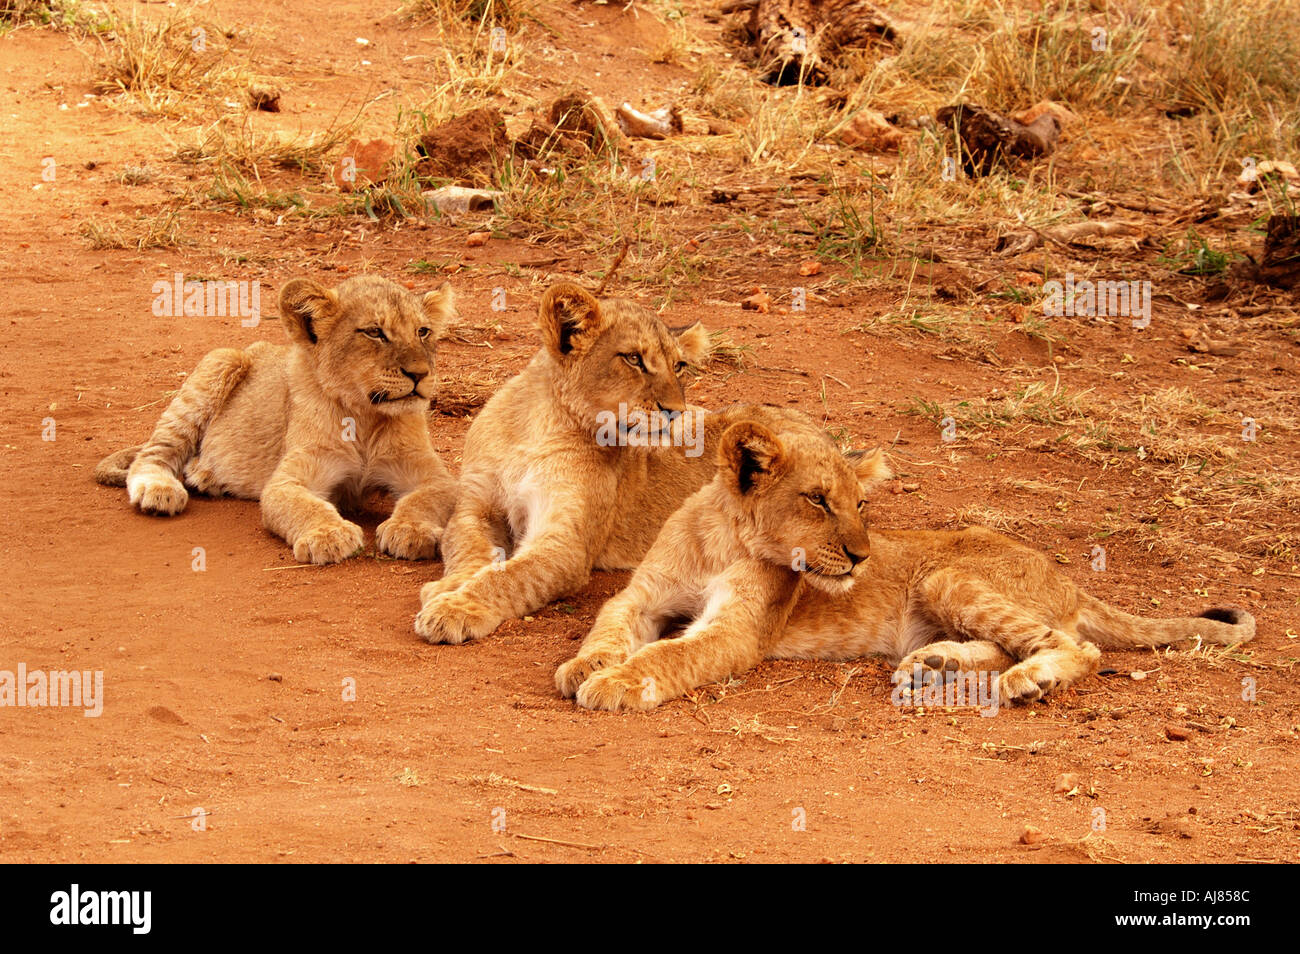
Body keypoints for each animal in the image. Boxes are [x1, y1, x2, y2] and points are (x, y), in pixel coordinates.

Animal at [94, 275, 459, 565]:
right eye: (374, 332)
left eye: (423, 331)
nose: (420, 374)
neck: (365, 415)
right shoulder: (287, 480)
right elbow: (303, 505)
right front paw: (328, 535)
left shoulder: (433, 475)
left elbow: (423, 499)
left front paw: (410, 530)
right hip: (221, 360)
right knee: (153, 453)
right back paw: (160, 489)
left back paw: (204, 476)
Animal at [414, 281, 739, 644]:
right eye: (633, 358)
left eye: (679, 366)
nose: (677, 412)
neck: (539, 429)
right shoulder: (475, 507)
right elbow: (469, 550)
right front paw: (450, 586)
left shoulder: (565, 544)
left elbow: (508, 577)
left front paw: (454, 608)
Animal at [556, 406, 1257, 711]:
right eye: (818, 500)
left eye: (862, 504)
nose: (863, 557)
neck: (722, 540)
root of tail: (1071, 583)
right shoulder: (641, 595)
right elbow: (609, 625)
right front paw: (586, 665)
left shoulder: (738, 632)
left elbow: (671, 654)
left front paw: (615, 684)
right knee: (1011, 643)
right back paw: (934, 665)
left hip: (947, 575)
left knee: (1072, 645)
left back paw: (1029, 682)